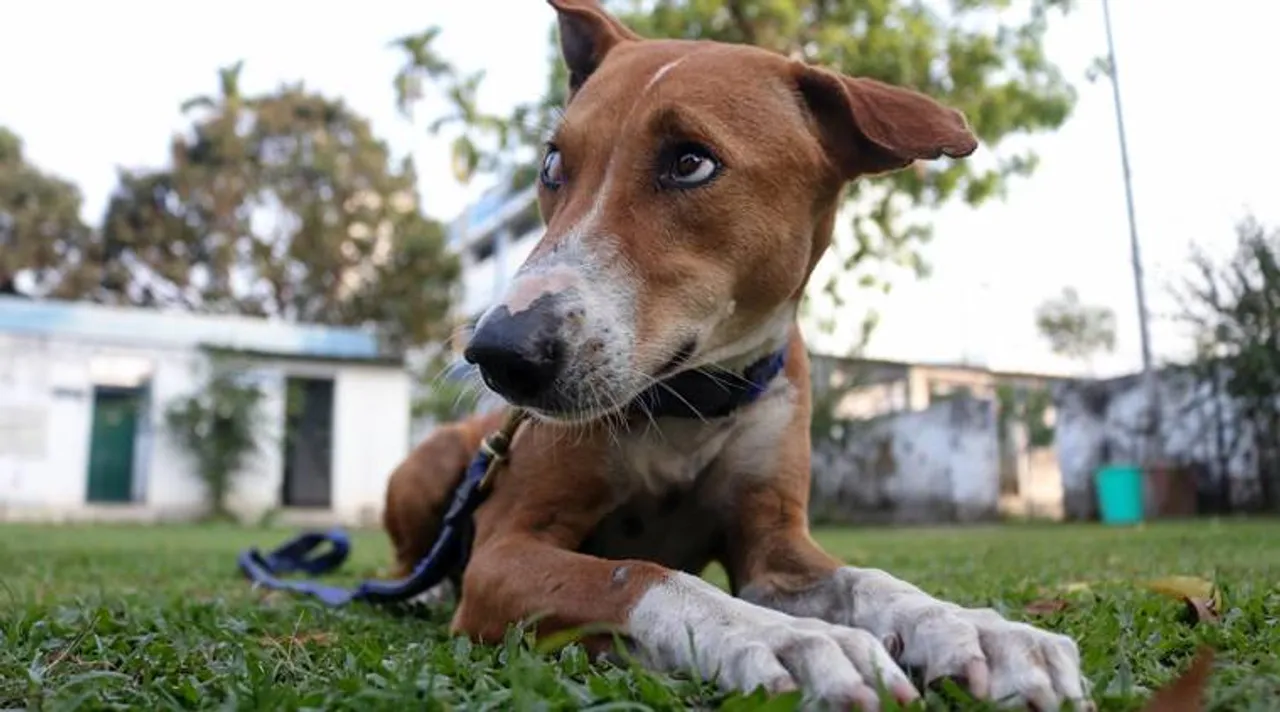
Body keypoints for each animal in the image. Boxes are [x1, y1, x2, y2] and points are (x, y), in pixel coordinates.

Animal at [381, 2, 1090, 706]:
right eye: (553, 166)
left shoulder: (776, 549)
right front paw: (792, 640)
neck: (690, 401)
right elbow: (637, 574)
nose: (497, 352)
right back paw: (424, 587)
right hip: (430, 466)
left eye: (691, 163)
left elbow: (871, 579)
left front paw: (979, 631)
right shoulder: (503, 552)